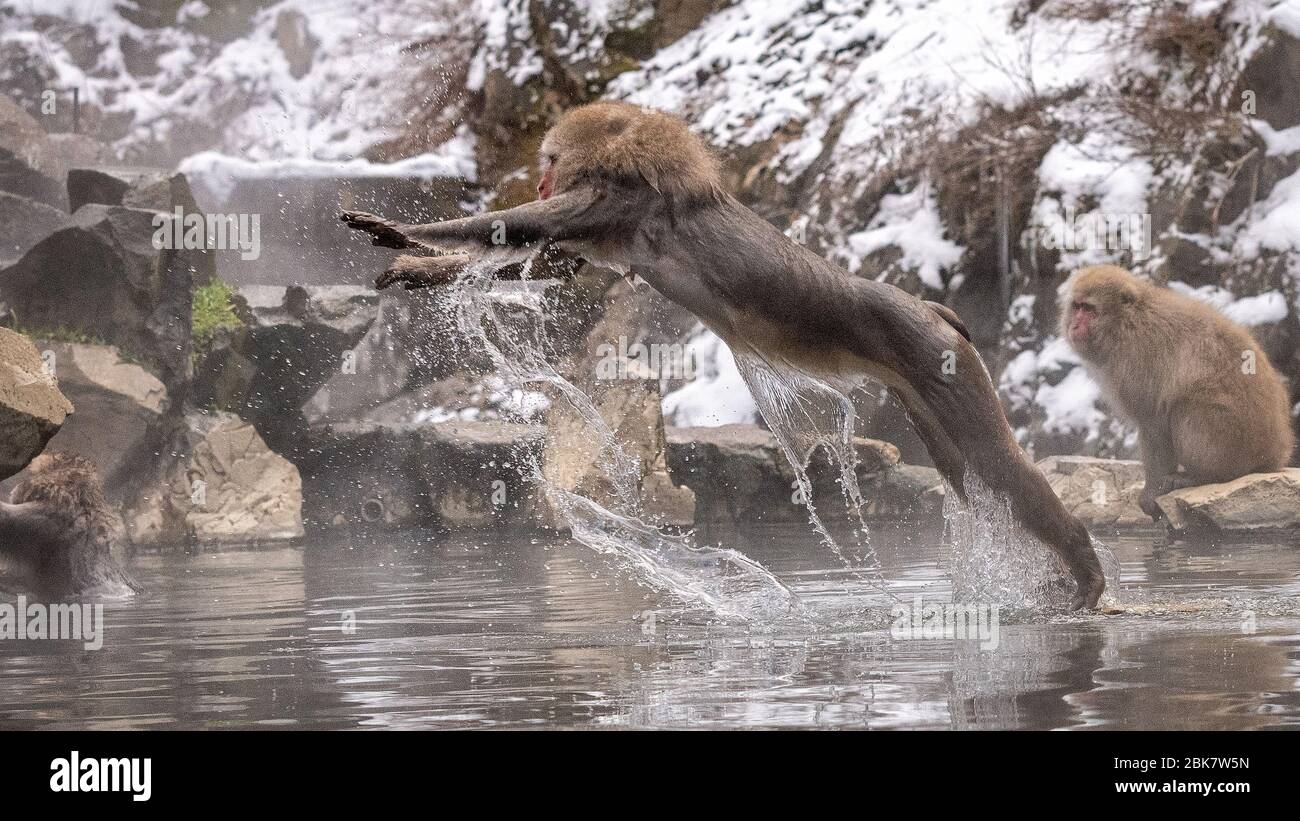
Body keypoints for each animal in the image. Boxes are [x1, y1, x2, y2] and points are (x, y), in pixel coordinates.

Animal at [342, 101, 1105, 608]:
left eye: (551, 161)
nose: (540, 181)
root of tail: (933, 310)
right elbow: (549, 264)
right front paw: (415, 268)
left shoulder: (615, 201)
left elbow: (521, 231)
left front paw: (401, 232)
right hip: (926, 385)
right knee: (972, 474)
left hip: (938, 361)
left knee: (996, 463)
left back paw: (1087, 572)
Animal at [1060, 264, 1294, 518]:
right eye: (1077, 307)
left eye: (1089, 309)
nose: (1074, 325)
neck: (1126, 323)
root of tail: (1276, 452)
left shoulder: (1139, 357)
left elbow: (1153, 421)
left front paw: (1151, 492)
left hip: (1234, 440)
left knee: (1184, 408)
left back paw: (1204, 476)